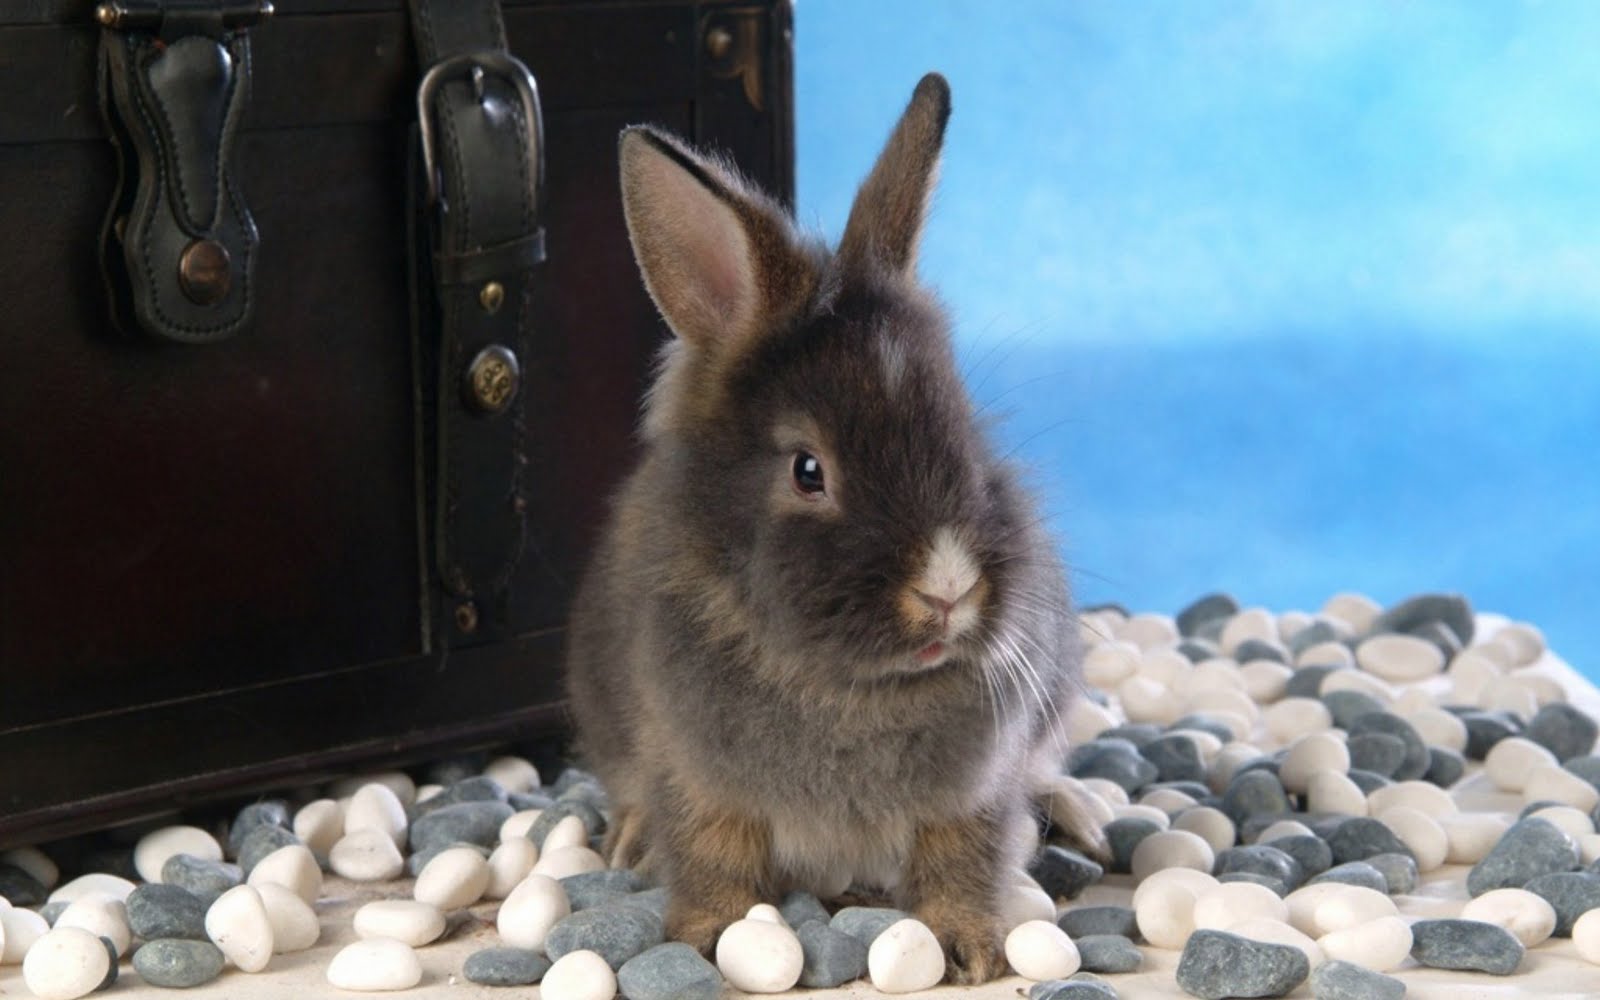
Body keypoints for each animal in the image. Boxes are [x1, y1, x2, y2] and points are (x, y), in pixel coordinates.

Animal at [564, 72, 1106, 984]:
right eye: (807, 470)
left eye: (967, 439)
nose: (947, 590)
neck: (847, 688)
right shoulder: (696, 778)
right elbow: (711, 855)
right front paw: (705, 937)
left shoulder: (974, 794)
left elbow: (964, 859)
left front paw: (969, 948)